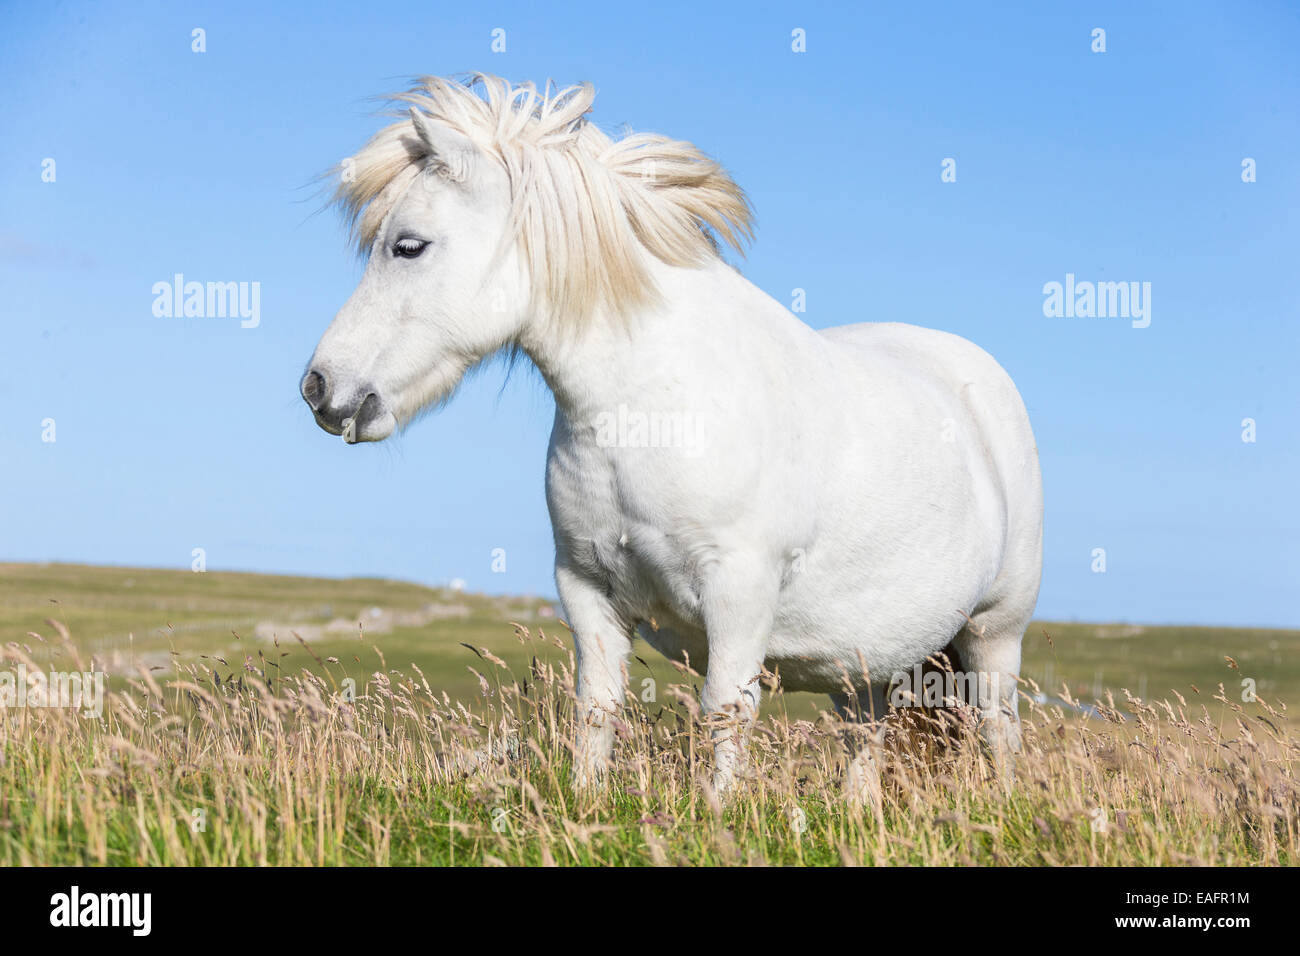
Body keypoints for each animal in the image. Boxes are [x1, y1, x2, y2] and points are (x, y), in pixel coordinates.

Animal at [302, 74, 1043, 801]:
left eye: (409, 245)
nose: (319, 387)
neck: (653, 411)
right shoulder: (587, 588)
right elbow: (596, 706)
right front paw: (586, 804)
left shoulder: (739, 593)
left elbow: (725, 710)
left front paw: (718, 815)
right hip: (864, 661)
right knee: (865, 737)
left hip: (994, 630)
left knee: (998, 725)